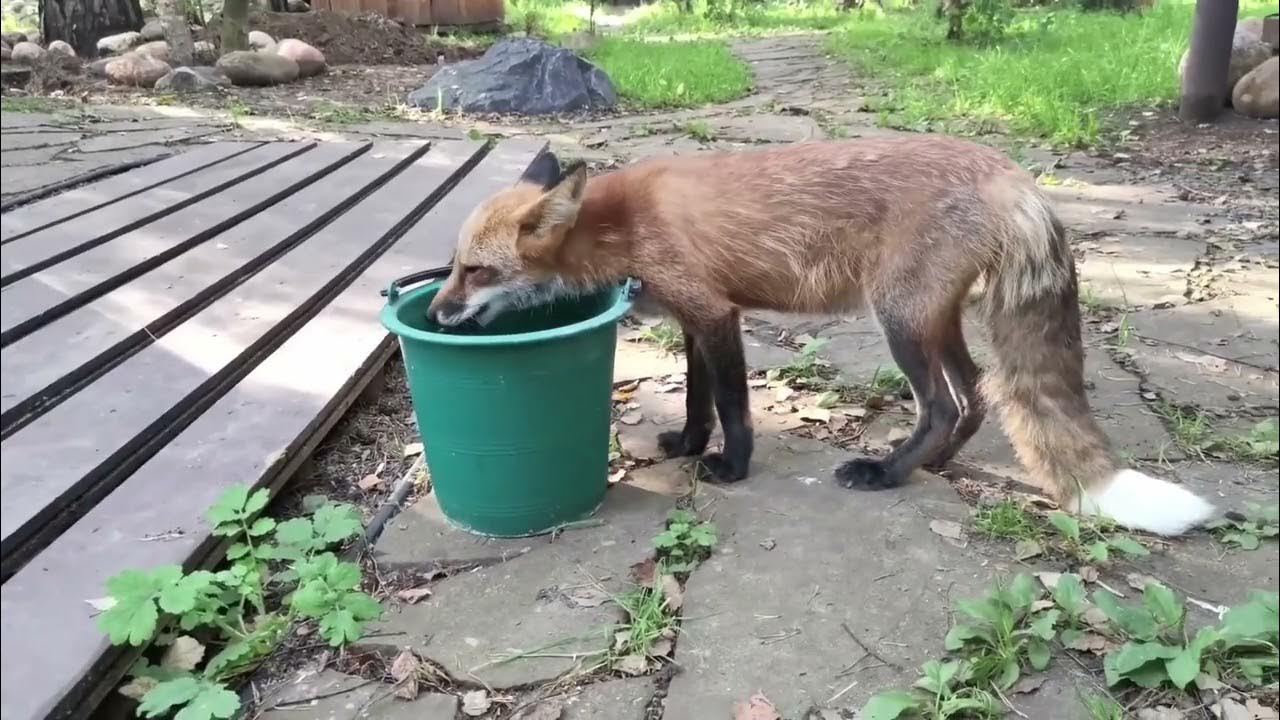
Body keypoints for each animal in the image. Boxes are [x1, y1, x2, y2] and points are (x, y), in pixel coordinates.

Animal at [426, 135, 1218, 537]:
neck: (616, 225)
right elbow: (697, 402)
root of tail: (1013, 176)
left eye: (474, 270)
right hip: (933, 322)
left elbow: (734, 407)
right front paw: (687, 447)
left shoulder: (715, 315)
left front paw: (732, 466)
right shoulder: (693, 320)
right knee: (974, 398)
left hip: (897, 321)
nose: (433, 315)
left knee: (941, 405)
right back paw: (930, 465)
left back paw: (888, 473)